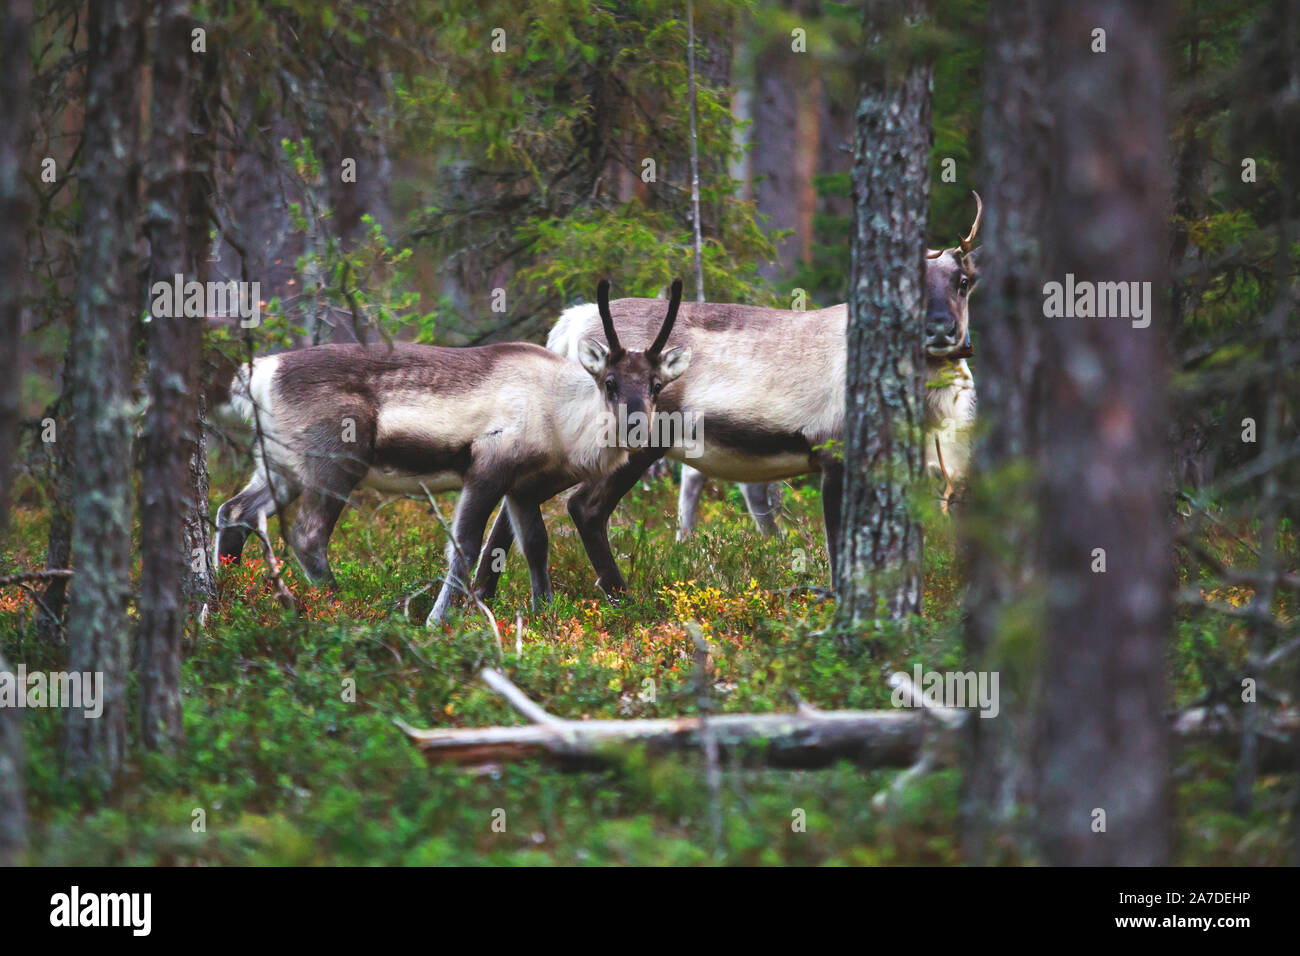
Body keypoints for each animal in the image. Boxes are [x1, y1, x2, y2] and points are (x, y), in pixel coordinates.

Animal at [213, 279, 690, 624]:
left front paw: (545, 614)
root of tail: (257, 375)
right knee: (308, 534)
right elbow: (465, 544)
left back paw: (225, 598)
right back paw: (341, 605)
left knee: (234, 510)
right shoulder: (488, 468)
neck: (559, 412)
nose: (636, 427)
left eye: (656, 385)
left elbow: (535, 545)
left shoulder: (522, 488)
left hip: (279, 468)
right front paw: (438, 621)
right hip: (334, 464)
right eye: (609, 381)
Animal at [471, 193, 982, 603]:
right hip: (635, 443)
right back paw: (620, 598)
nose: (941, 330)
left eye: (963, 281)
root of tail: (567, 326)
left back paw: (480, 598)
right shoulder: (833, 452)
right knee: (583, 508)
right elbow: (838, 546)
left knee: (518, 504)